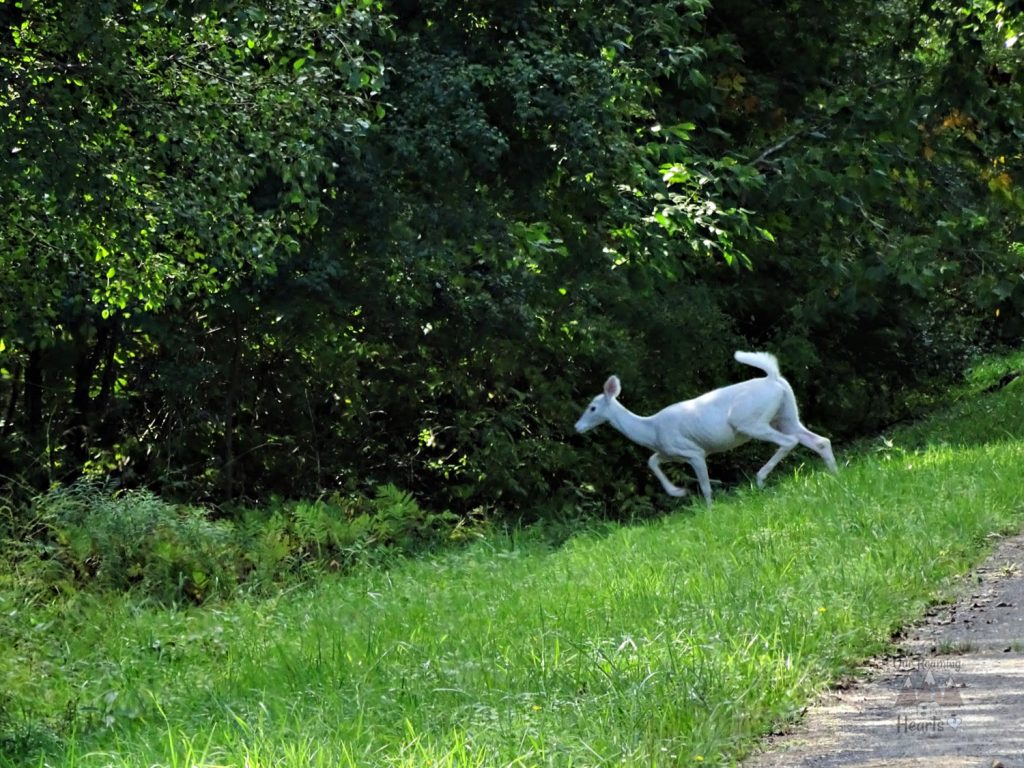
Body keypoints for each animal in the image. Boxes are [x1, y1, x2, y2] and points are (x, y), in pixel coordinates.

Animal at [574, 351, 837, 505]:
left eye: (592, 408)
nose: (577, 427)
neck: (651, 430)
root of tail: (774, 378)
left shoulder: (695, 451)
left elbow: (706, 486)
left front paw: (709, 511)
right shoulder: (671, 451)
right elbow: (651, 461)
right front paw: (678, 492)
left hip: (751, 421)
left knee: (788, 441)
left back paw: (761, 479)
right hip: (786, 415)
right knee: (820, 440)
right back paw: (835, 475)